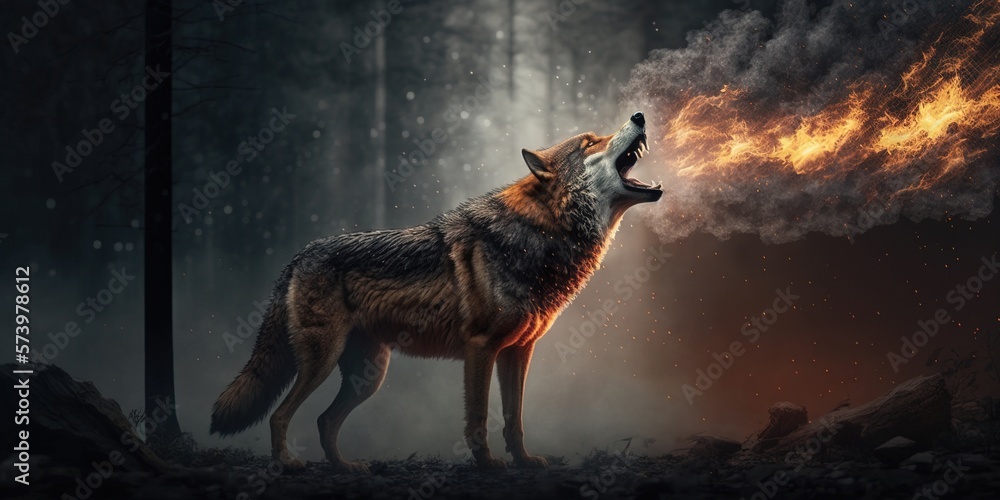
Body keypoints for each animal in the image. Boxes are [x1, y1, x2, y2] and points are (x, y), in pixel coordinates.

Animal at [210, 112, 661, 472]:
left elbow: (514, 420)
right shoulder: (481, 347)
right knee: (280, 415)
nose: (640, 115)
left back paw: (345, 467)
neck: (545, 231)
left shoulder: (518, 351)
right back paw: (286, 463)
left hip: (368, 377)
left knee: (323, 421)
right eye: (590, 142)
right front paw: (488, 465)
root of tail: (298, 256)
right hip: (321, 362)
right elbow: (478, 419)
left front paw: (524, 461)